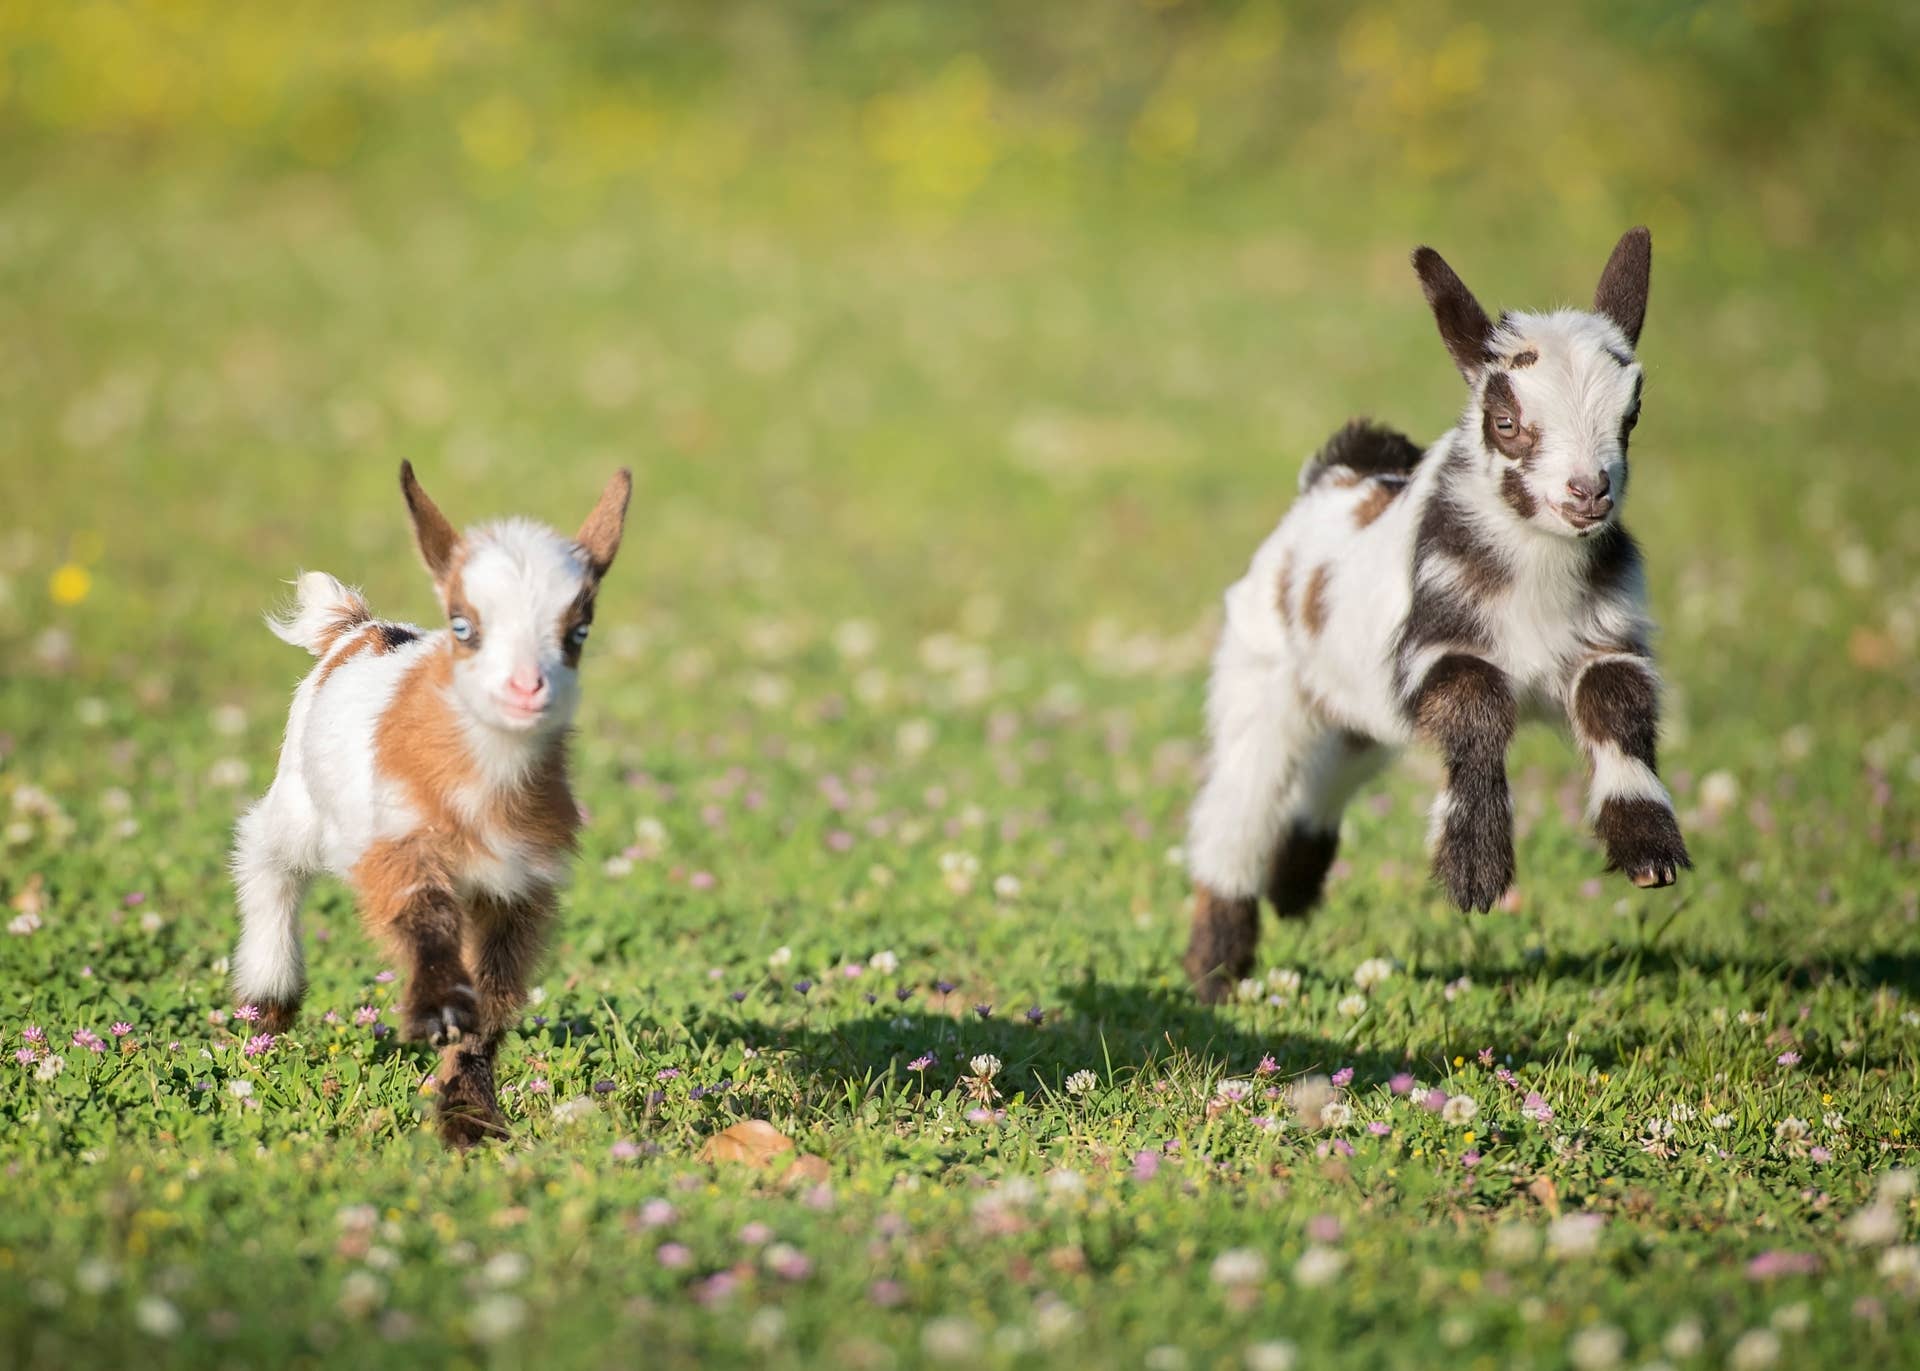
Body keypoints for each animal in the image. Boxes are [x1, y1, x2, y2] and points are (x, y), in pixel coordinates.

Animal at [231, 462, 631, 1143]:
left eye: (579, 631)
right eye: (463, 625)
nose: (527, 688)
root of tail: (359, 627)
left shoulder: (519, 886)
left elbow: (495, 999)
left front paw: (470, 1117)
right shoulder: (396, 839)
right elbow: (420, 914)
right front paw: (439, 1010)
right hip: (300, 797)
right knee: (264, 852)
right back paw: (268, 998)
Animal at [1184, 228, 1689, 1001]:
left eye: (1629, 418)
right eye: (1506, 422)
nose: (1588, 493)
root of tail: (1333, 475)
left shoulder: (1604, 640)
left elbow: (1616, 702)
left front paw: (1649, 850)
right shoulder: (1433, 649)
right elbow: (1478, 703)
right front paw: (1474, 870)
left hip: (1357, 713)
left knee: (1328, 770)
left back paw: (1293, 884)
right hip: (1262, 676)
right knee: (1240, 804)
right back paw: (1215, 969)